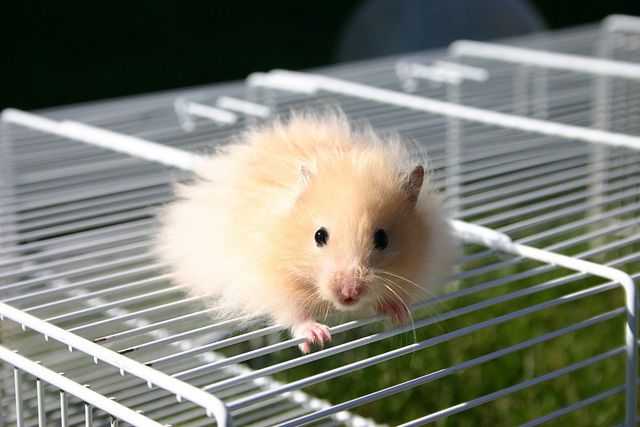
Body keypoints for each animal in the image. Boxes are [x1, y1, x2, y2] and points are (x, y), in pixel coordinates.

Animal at [155, 110, 454, 353]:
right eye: (319, 236)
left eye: (383, 238)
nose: (348, 293)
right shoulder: (267, 280)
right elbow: (292, 313)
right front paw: (318, 336)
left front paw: (400, 313)